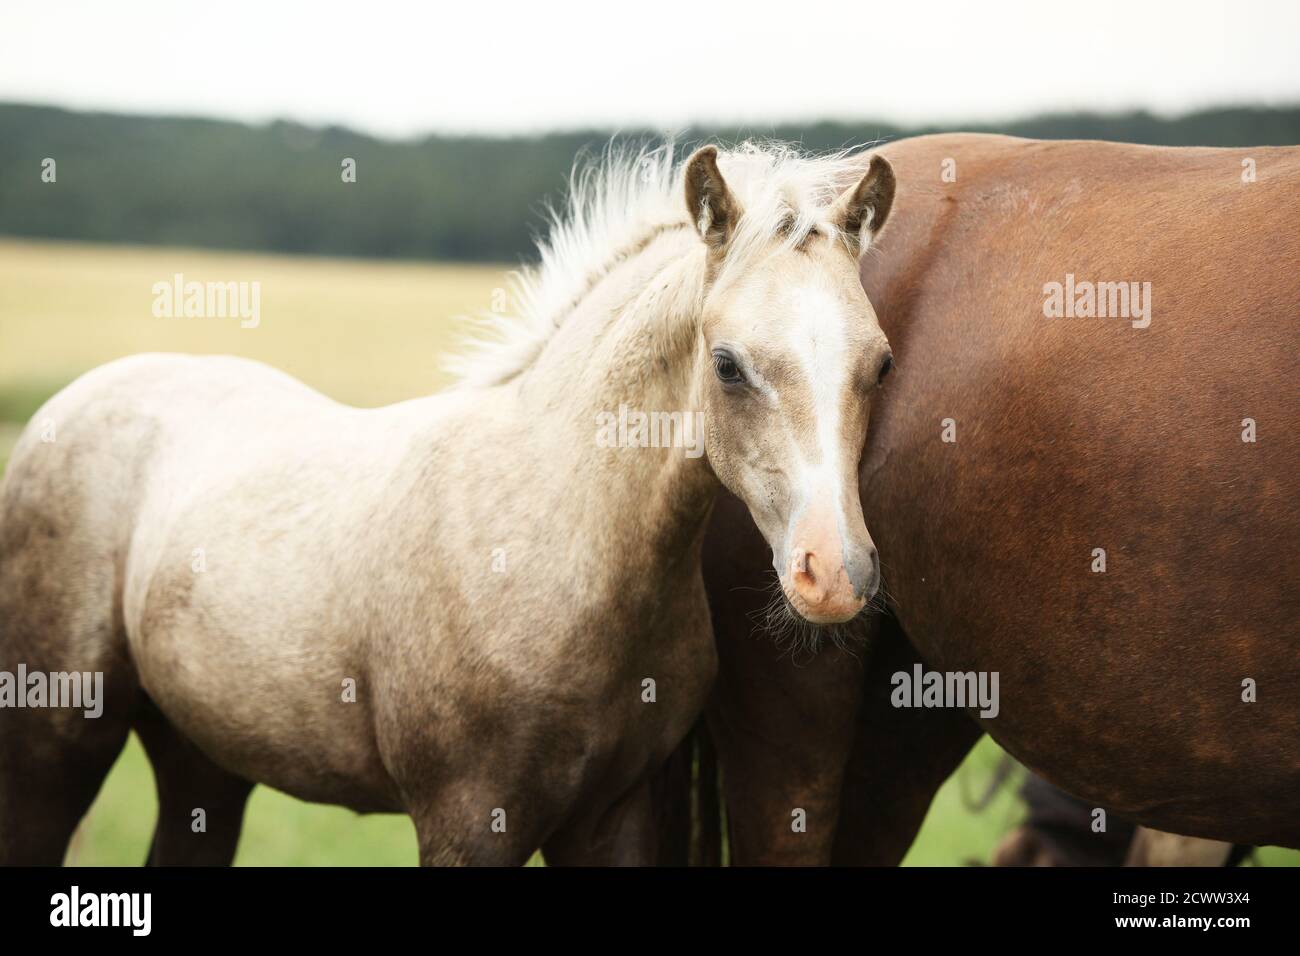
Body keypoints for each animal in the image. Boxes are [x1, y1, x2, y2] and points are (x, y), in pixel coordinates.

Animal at [0, 142, 898, 865]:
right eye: (727, 365)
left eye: (882, 363)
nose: (834, 574)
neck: (560, 530)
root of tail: (61, 411)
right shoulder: (468, 821)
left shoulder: (614, 816)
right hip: (52, 753)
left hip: (204, 766)